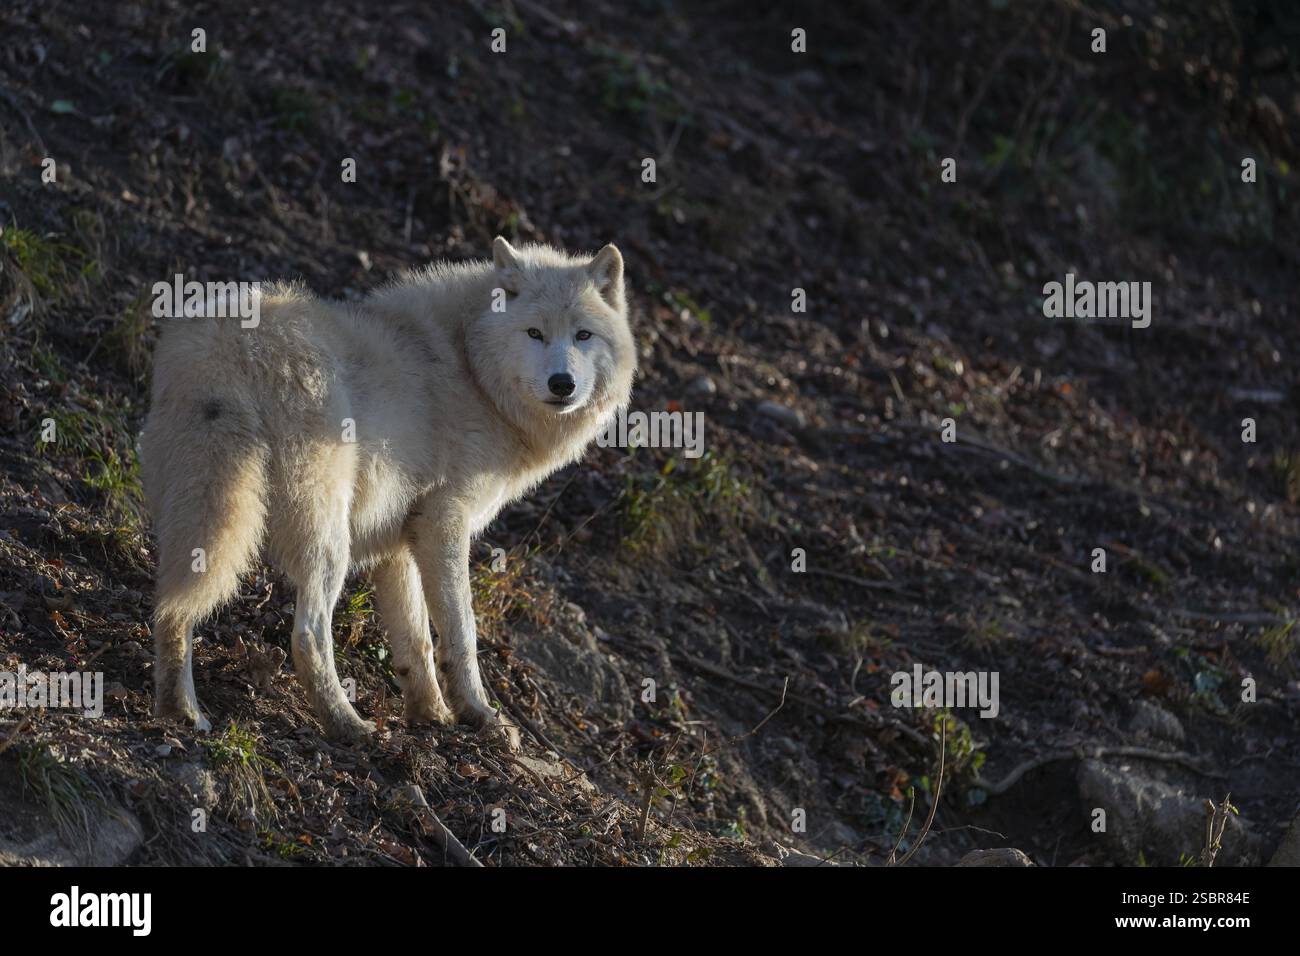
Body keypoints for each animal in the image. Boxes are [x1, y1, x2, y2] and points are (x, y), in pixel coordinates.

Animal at [139, 237, 635, 743]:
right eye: (534, 333)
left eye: (583, 335)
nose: (562, 384)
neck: (472, 366)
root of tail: (230, 347)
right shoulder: (443, 524)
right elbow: (462, 632)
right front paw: (481, 715)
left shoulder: (399, 542)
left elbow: (415, 641)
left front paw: (430, 715)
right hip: (325, 539)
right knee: (308, 635)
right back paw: (348, 724)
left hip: (200, 513)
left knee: (170, 606)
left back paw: (179, 711)